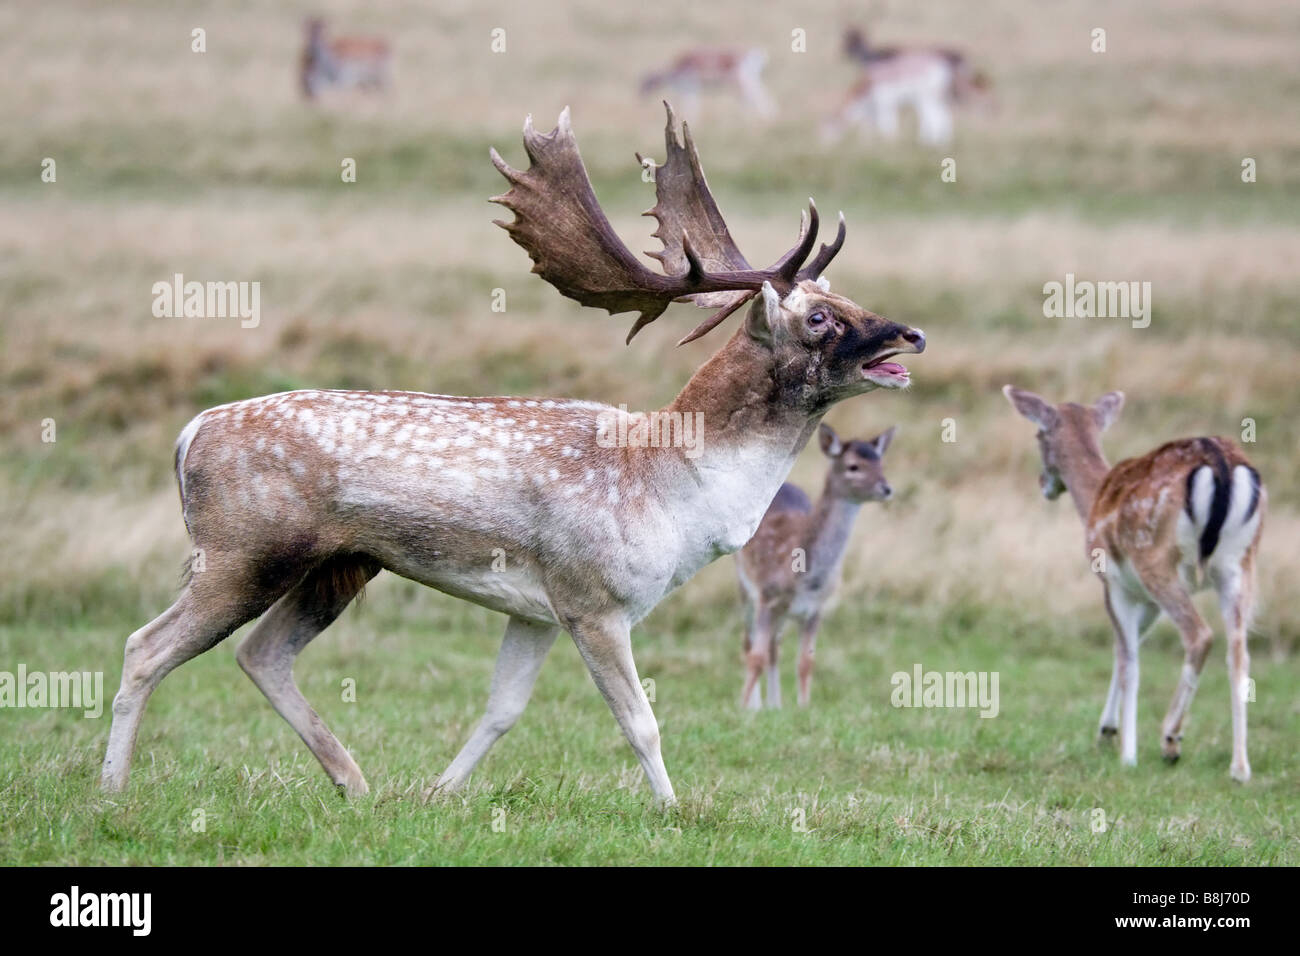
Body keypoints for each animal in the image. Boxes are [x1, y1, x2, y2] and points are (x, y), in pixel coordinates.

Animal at [639, 48, 775, 120]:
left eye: (644, 85)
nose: (641, 99)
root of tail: (755, 54)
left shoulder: (690, 88)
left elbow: (690, 106)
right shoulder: (690, 90)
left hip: (740, 81)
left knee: (755, 96)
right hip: (747, 81)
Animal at [737, 423, 896, 709]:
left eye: (881, 463)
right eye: (854, 466)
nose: (886, 488)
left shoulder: (815, 608)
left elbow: (805, 661)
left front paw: (803, 707)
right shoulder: (767, 594)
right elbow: (756, 656)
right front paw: (743, 708)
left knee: (774, 647)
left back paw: (775, 705)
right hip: (745, 584)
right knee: (749, 642)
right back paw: (756, 706)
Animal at [1003, 386, 1264, 782]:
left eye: (1038, 435)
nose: (1043, 484)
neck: (1095, 500)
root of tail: (1220, 465)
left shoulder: (1113, 581)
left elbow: (1128, 659)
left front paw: (1127, 753)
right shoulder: (1144, 598)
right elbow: (1125, 648)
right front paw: (1107, 732)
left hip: (1155, 558)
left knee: (1200, 634)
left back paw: (1171, 738)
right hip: (1239, 564)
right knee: (1239, 650)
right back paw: (1239, 767)